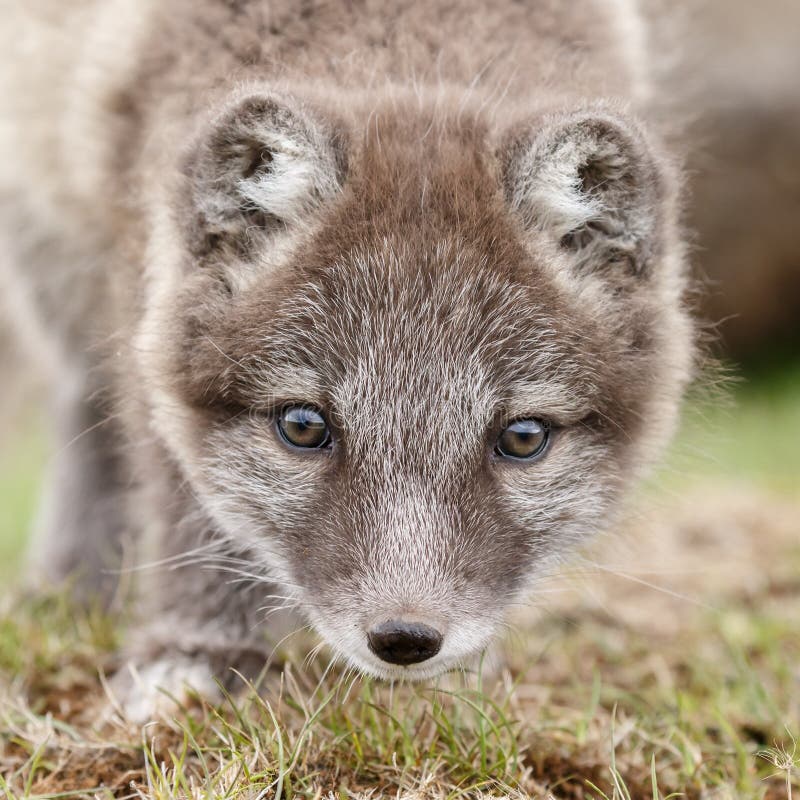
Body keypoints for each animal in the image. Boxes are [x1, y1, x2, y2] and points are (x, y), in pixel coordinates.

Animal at [0, 0, 693, 718]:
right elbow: (187, 497)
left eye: (524, 438)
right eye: (302, 427)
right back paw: (73, 589)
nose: (405, 639)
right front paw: (196, 652)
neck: (407, 39)